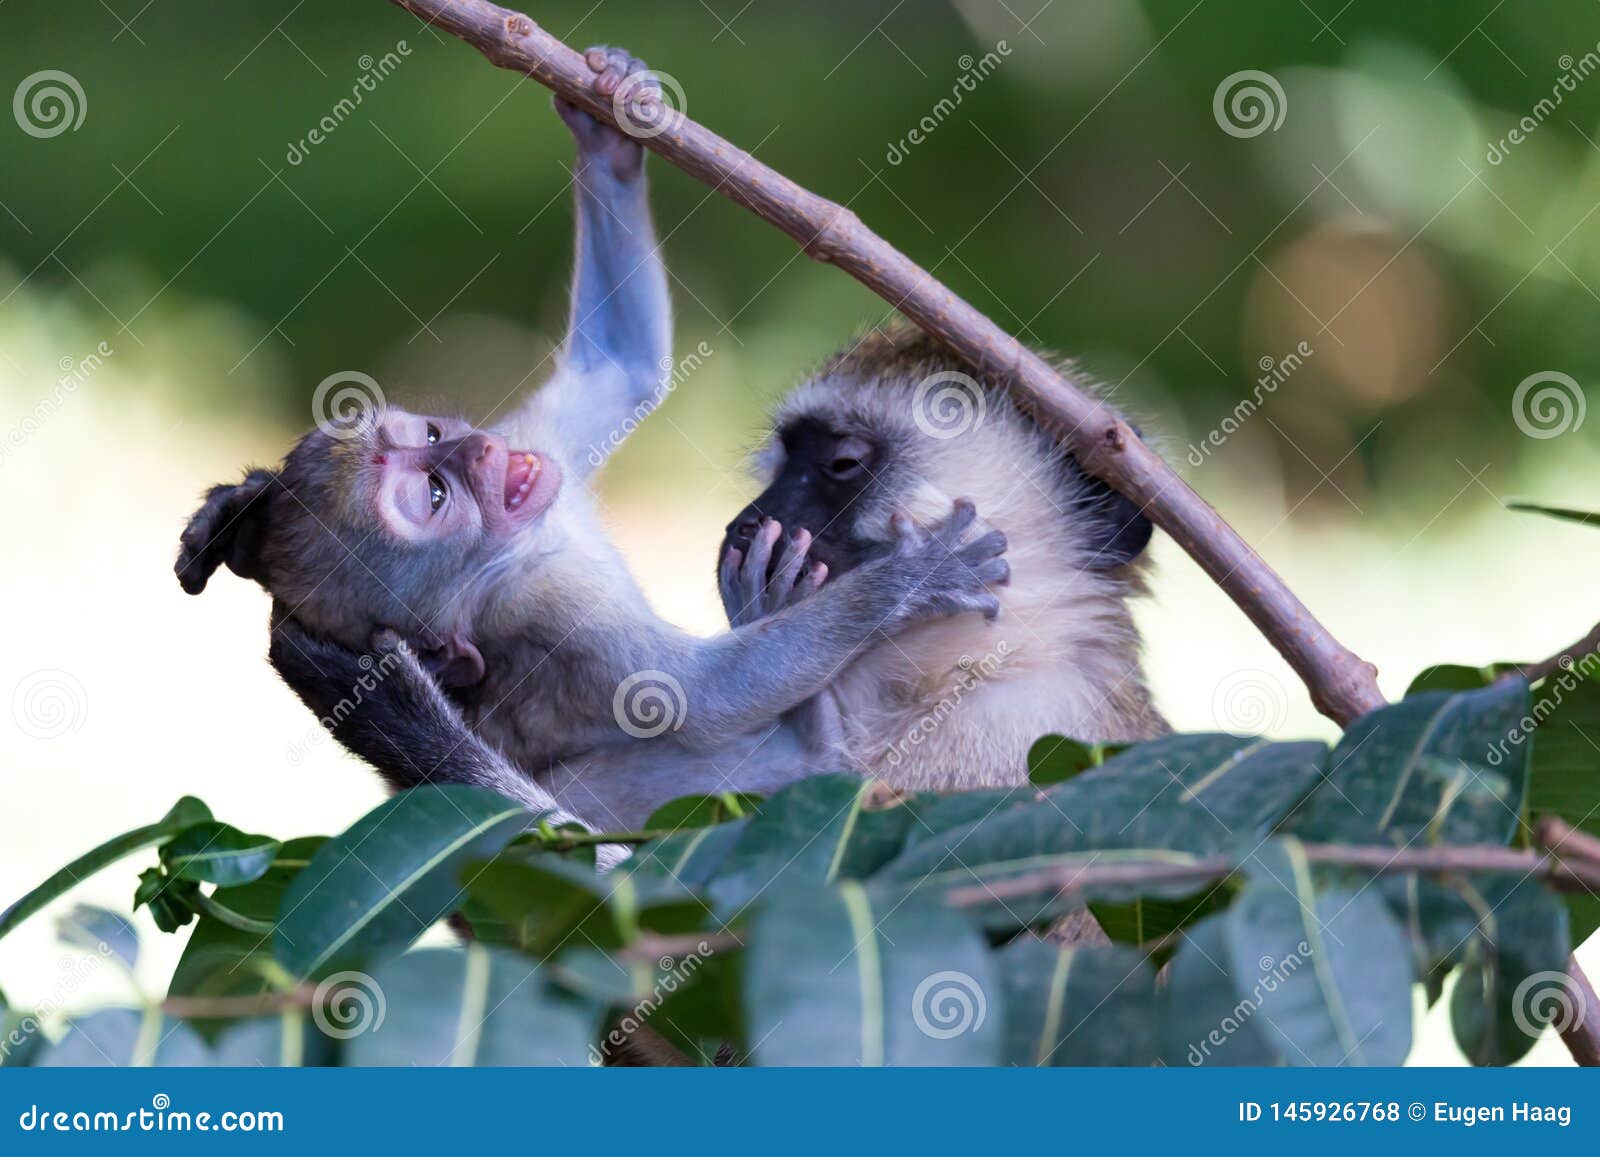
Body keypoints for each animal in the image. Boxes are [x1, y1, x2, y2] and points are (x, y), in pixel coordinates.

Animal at [177, 48, 1010, 834]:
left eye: (432, 436)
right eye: (437, 495)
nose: (474, 452)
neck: (530, 541)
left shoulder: (537, 449)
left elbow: (619, 363)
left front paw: (608, 131)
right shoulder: (545, 607)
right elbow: (699, 695)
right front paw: (909, 581)